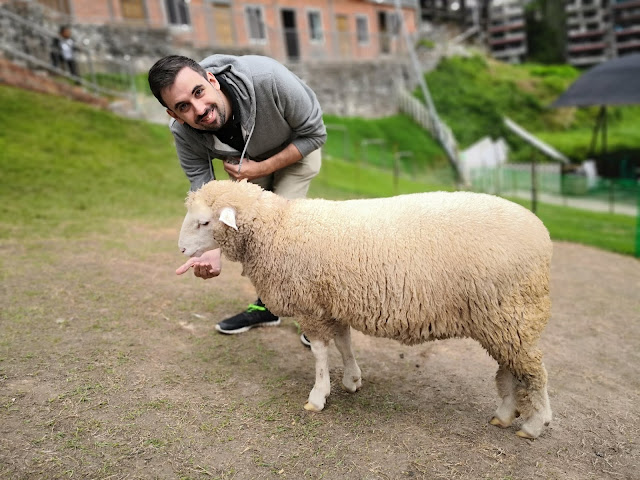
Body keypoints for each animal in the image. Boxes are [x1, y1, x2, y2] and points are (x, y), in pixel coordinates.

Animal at [178, 179, 553, 439]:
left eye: (204, 222)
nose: (181, 249)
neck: (278, 227)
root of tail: (542, 233)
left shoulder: (311, 305)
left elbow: (319, 353)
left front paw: (318, 395)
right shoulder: (333, 301)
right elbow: (344, 342)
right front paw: (352, 379)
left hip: (513, 312)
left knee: (534, 370)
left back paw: (535, 424)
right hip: (503, 320)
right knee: (511, 369)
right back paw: (504, 414)